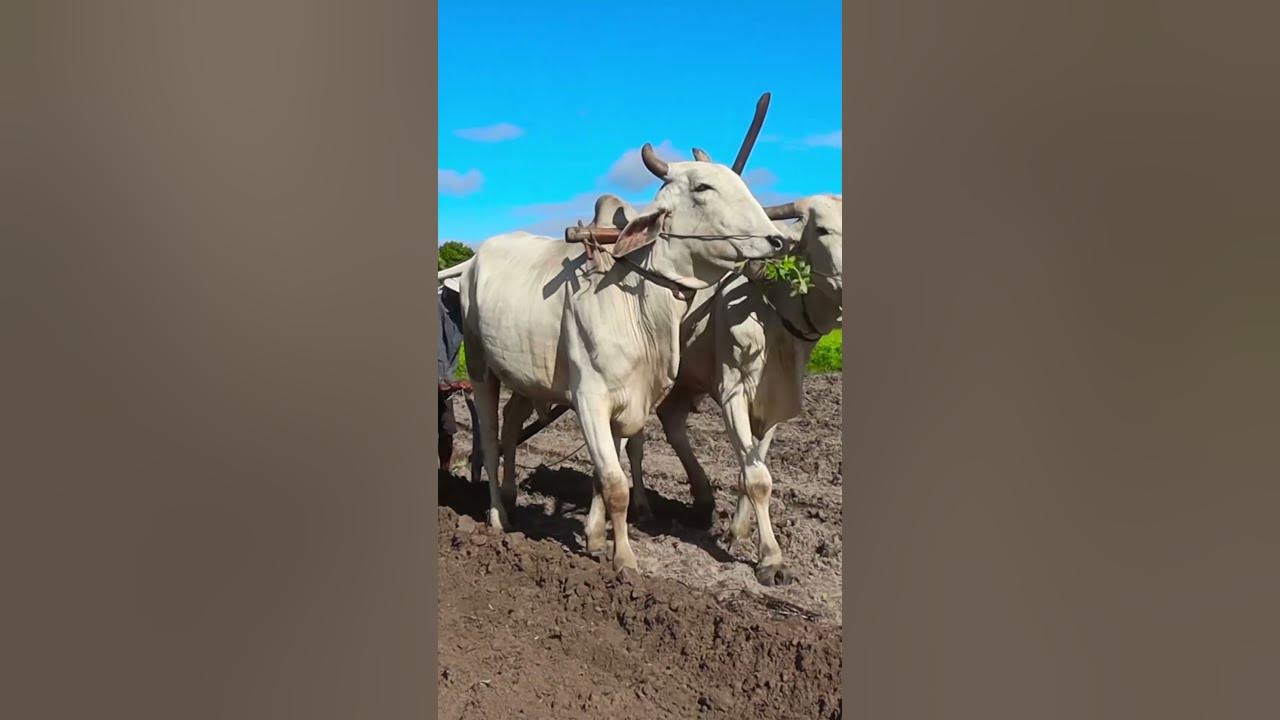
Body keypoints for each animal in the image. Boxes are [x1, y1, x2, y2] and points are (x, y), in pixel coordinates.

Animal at [449, 144, 788, 572]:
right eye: (702, 187)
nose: (777, 240)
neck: (635, 296)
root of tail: (475, 259)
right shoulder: (590, 399)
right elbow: (614, 484)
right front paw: (624, 559)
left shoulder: (630, 399)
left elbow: (602, 475)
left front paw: (596, 539)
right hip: (480, 368)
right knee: (490, 442)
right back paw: (497, 517)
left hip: (525, 377)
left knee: (509, 427)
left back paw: (510, 498)